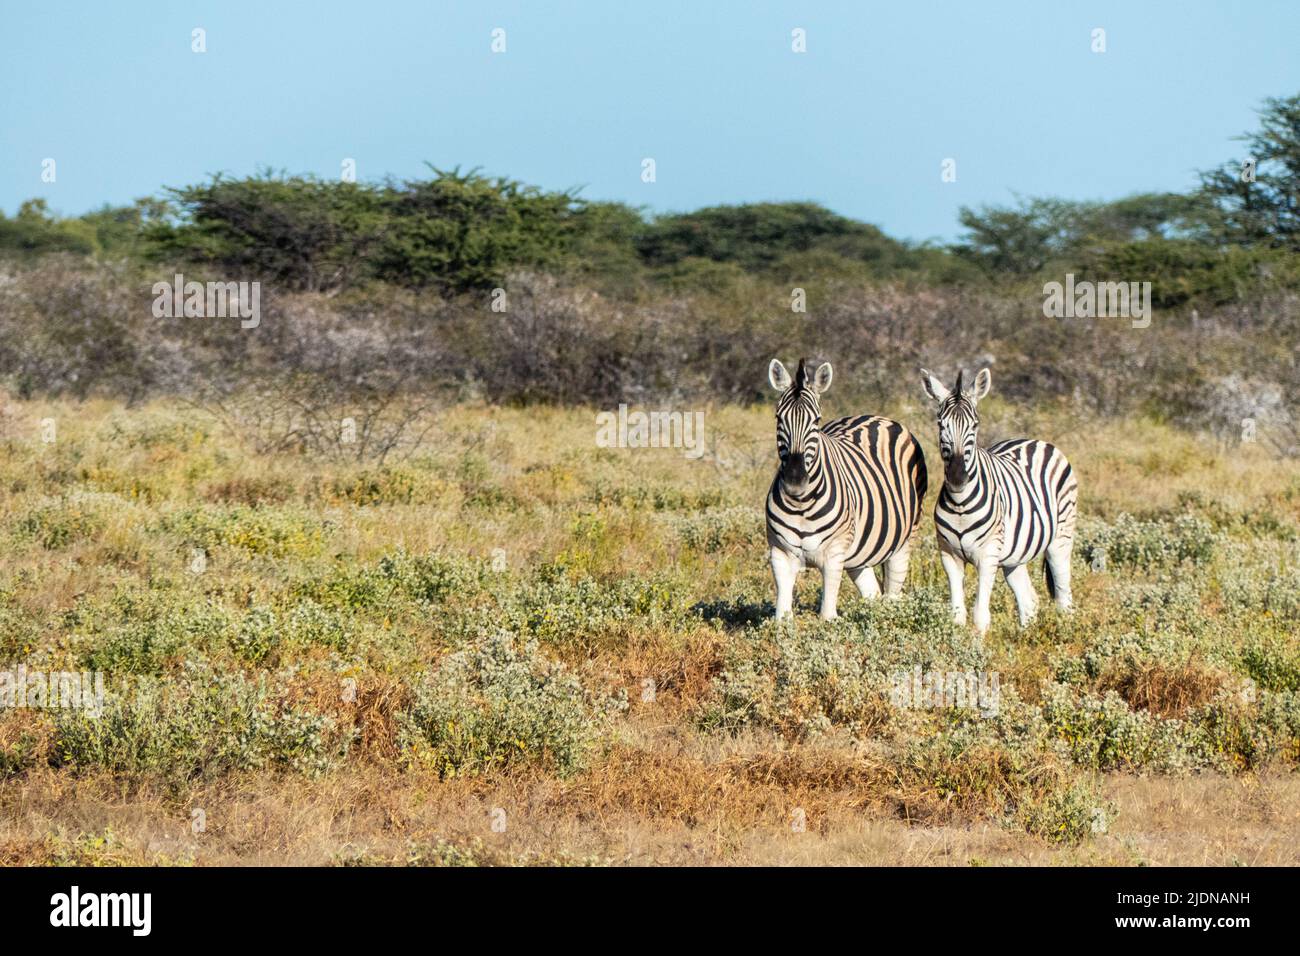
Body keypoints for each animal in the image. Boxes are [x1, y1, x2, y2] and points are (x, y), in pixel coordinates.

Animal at [766, 358, 928, 620]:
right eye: (778, 418)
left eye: (816, 421)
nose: (795, 480)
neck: (802, 503)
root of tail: (874, 416)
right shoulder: (779, 552)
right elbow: (781, 615)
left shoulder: (834, 553)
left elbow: (827, 614)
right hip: (859, 552)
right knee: (873, 592)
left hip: (904, 539)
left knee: (893, 593)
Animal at [919, 366, 1078, 635]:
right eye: (941, 424)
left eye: (975, 425)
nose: (958, 478)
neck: (960, 504)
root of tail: (1034, 440)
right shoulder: (948, 555)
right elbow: (957, 614)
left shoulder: (988, 555)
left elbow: (980, 615)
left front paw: (978, 644)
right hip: (1015, 555)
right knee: (1028, 599)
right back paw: (1024, 638)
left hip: (1060, 539)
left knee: (1063, 597)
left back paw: (1065, 633)